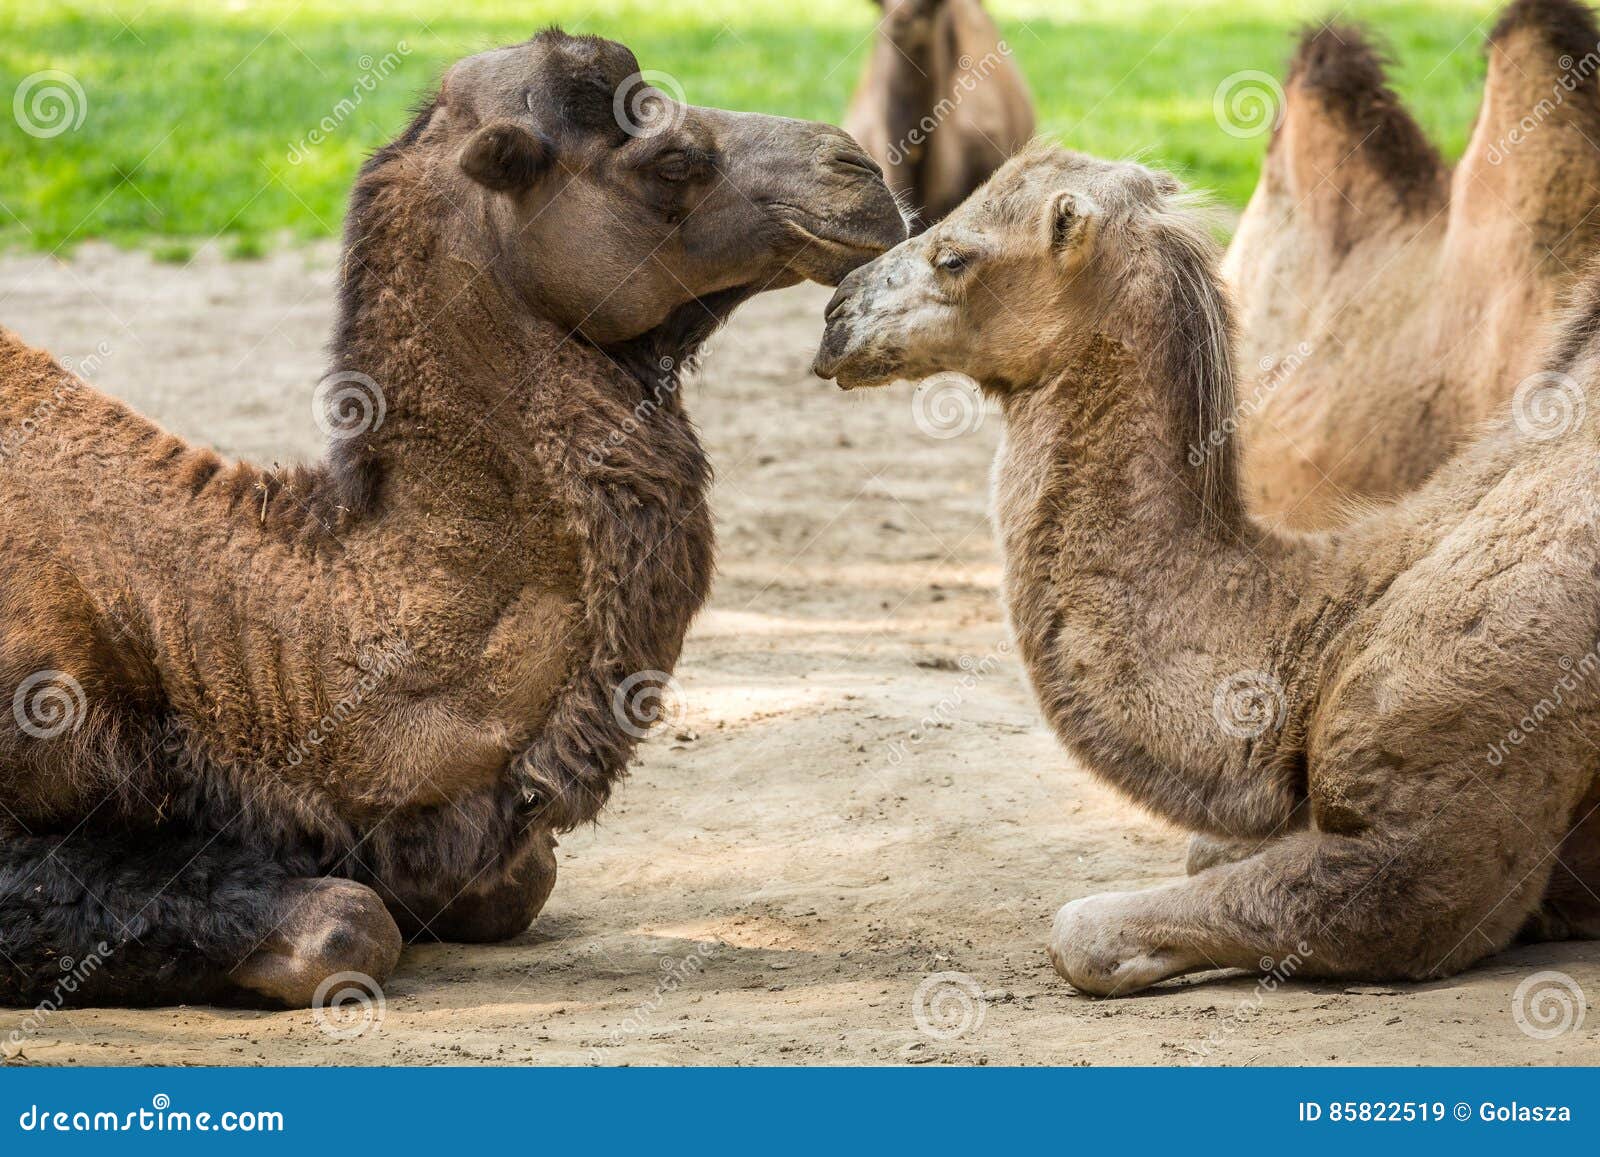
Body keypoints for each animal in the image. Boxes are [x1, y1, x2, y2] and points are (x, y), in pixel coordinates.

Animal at [813, 143, 1600, 995]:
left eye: (956, 255)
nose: (834, 314)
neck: (1319, 630)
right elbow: (1202, 848)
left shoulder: (1424, 847)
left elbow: (1081, 932)